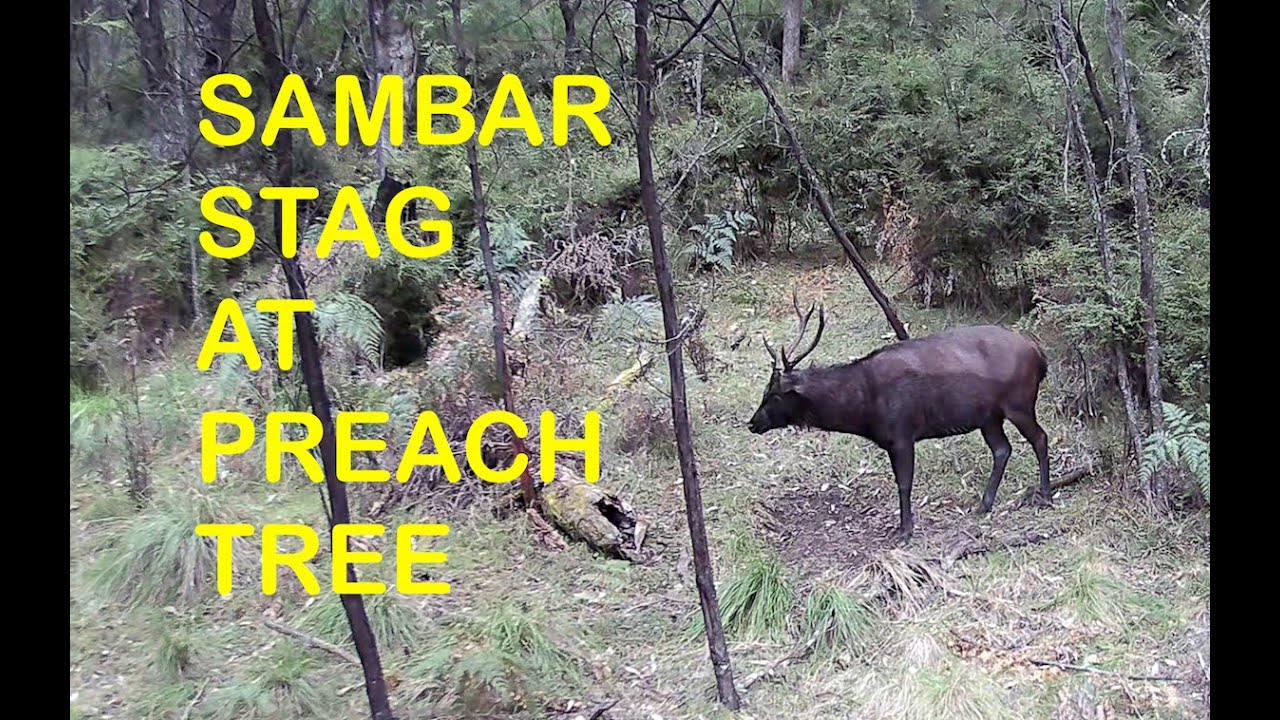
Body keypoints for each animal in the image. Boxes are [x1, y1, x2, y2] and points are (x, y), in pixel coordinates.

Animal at [747, 294, 1051, 543]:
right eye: (764, 391)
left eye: (774, 395)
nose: (752, 423)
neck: (865, 409)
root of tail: (1039, 353)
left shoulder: (902, 433)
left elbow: (904, 484)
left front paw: (905, 531)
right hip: (989, 416)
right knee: (1002, 449)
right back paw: (984, 505)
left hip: (1019, 402)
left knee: (1040, 437)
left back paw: (1045, 496)